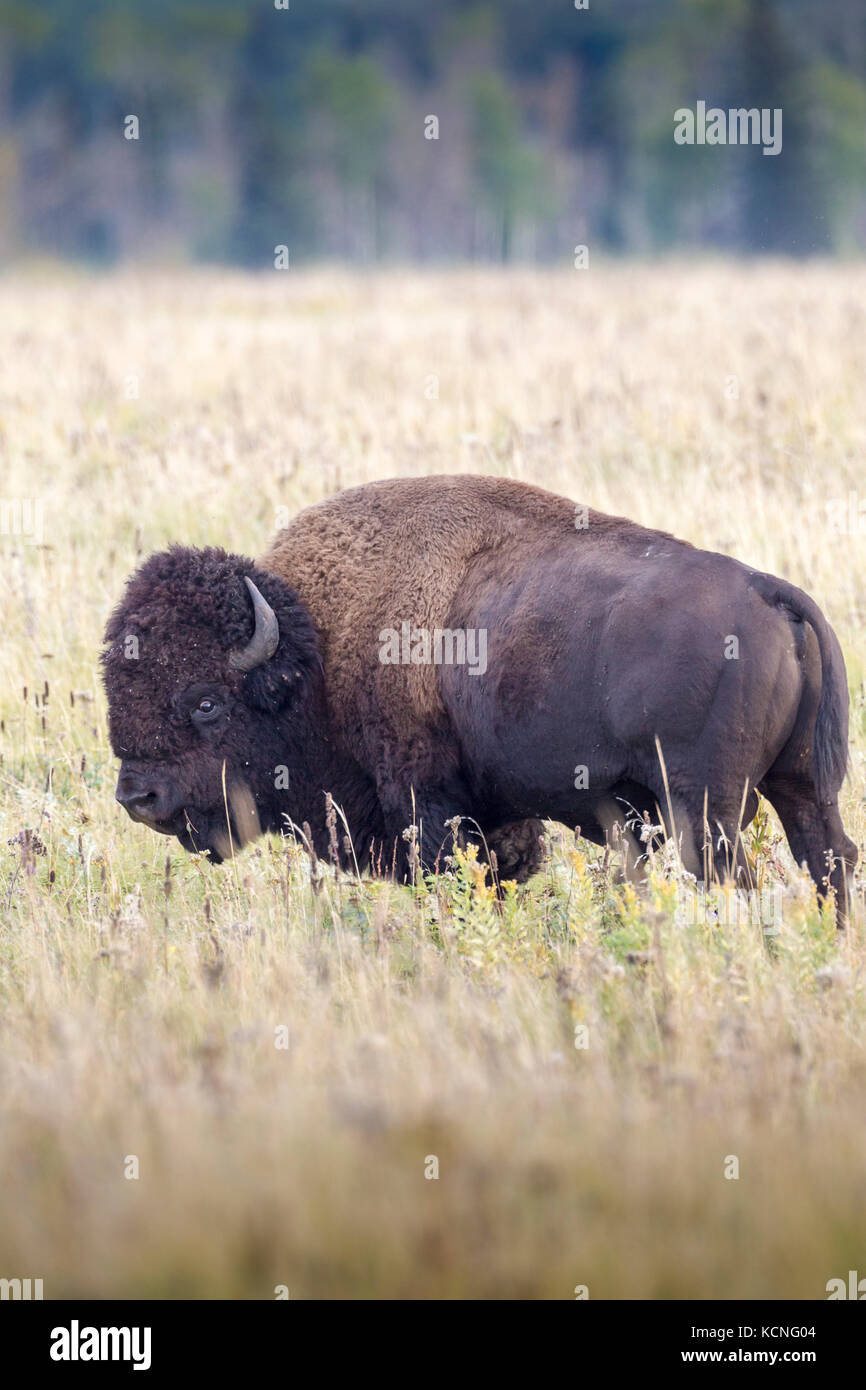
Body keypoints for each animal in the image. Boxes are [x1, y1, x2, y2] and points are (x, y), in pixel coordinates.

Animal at [102, 474, 857, 922]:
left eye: (205, 702)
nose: (137, 797)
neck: (315, 650)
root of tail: (766, 590)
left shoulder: (427, 803)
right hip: (799, 787)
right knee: (831, 858)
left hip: (706, 805)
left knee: (736, 877)